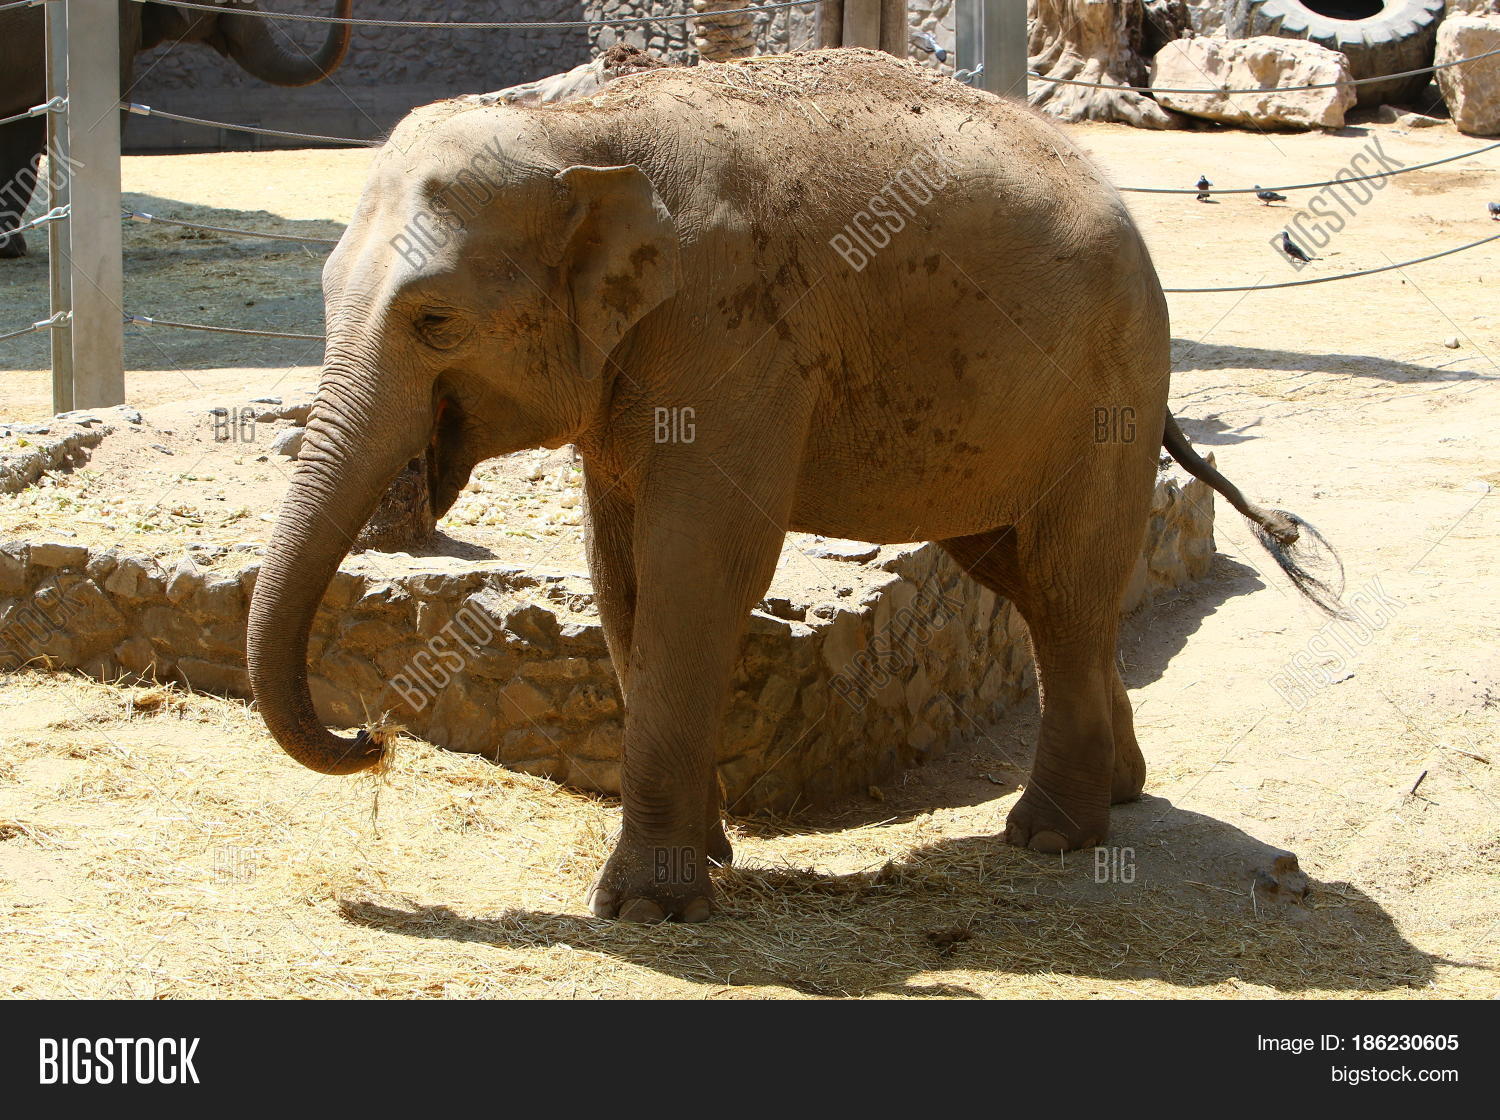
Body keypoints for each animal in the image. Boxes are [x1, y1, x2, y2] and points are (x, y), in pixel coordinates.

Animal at [246, 49, 1342, 923]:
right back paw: (1120, 789)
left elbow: (701, 563)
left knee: (1069, 586)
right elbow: (620, 571)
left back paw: (1048, 837)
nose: (374, 733)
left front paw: (648, 908)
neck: (583, 130)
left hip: (1111, 381)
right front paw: (710, 856)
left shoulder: (733, 336)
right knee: (1025, 580)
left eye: (434, 322)